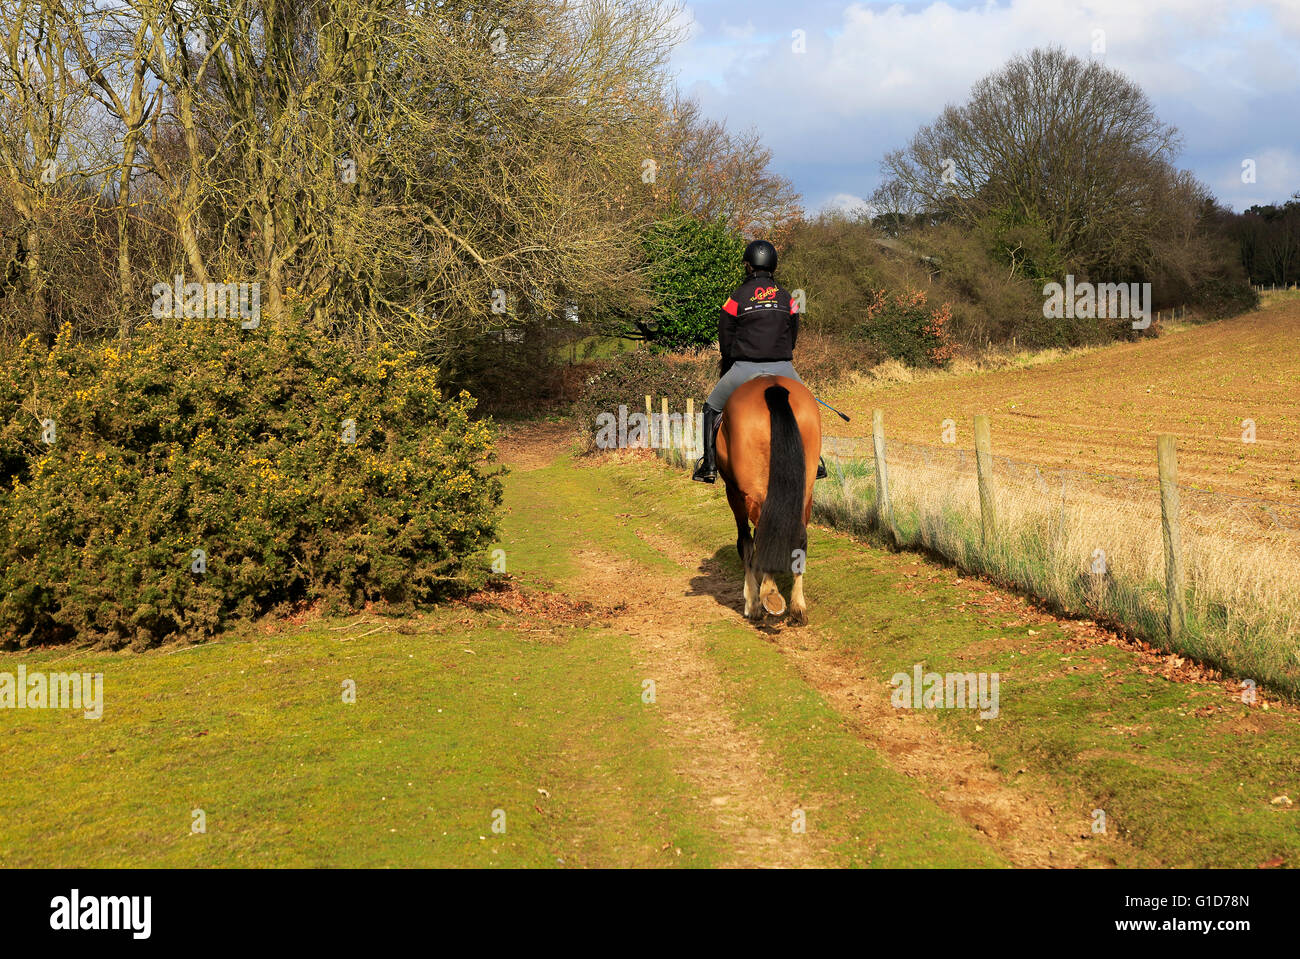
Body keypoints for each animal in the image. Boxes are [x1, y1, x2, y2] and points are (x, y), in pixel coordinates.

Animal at [715, 375, 822, 623]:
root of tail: (772, 386)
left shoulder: (734, 493)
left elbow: (746, 543)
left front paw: (751, 601)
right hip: (805, 493)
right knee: (799, 536)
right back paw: (797, 605)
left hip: (750, 494)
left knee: (765, 533)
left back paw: (768, 594)